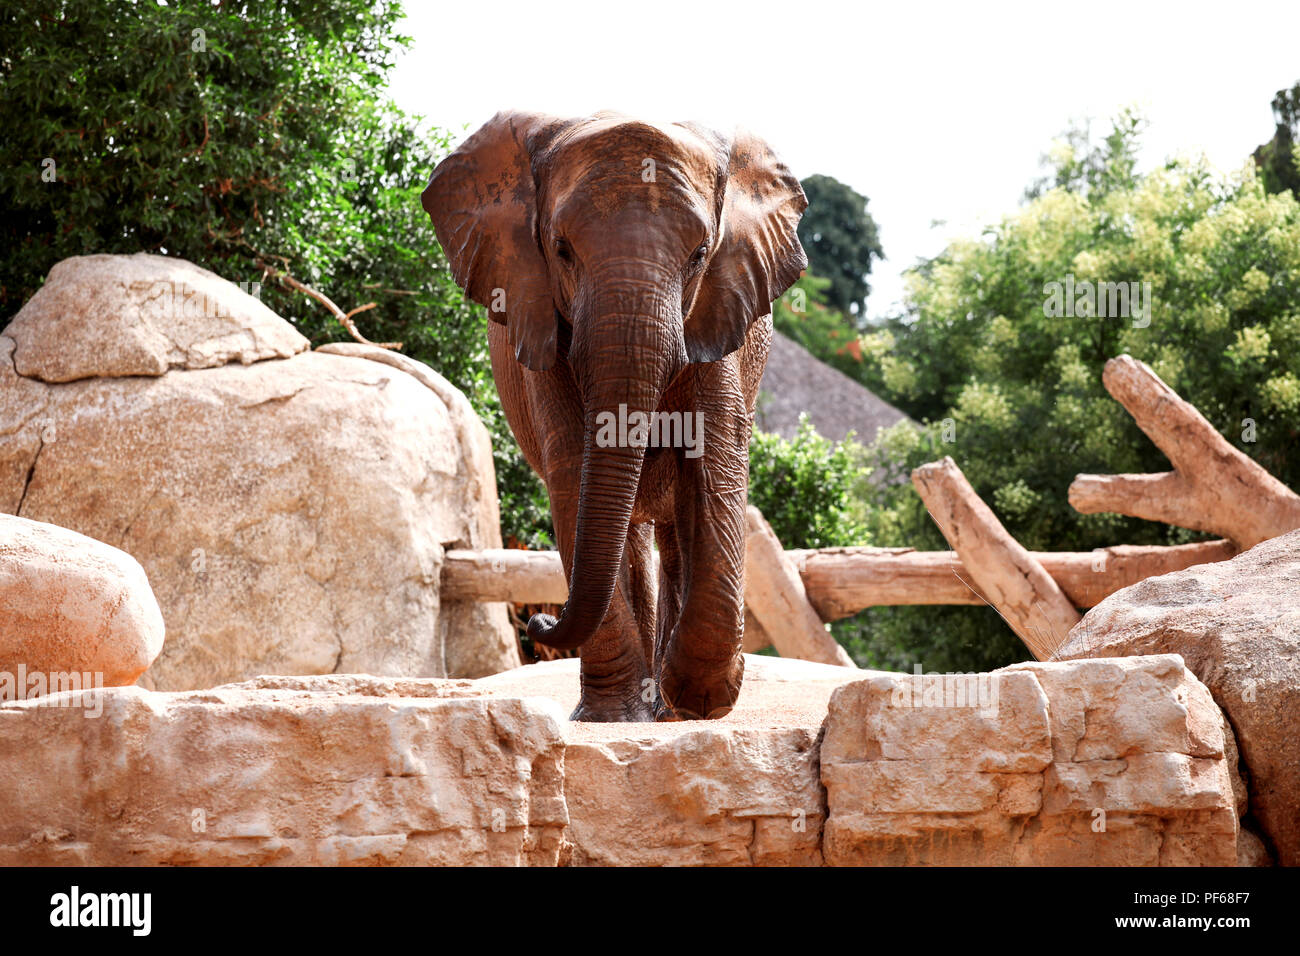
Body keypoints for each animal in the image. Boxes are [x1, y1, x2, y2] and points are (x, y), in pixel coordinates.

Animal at [422, 111, 807, 721]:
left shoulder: (721, 309)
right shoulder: (538, 319)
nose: (539, 619)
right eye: (561, 250)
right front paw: (611, 718)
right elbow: (573, 471)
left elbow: (717, 464)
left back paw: (669, 708)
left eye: (700, 255)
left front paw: (702, 698)